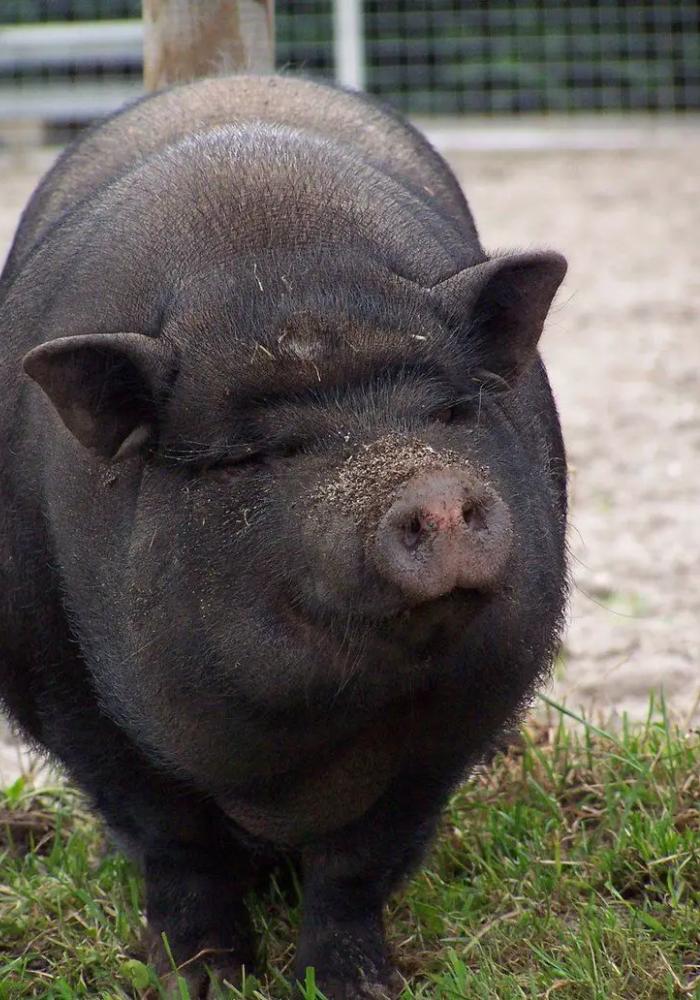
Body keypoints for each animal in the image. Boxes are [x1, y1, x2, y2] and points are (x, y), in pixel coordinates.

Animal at [0, 75, 568, 998]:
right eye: (255, 454)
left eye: (452, 413)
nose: (436, 492)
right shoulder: (64, 692)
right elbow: (173, 843)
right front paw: (199, 980)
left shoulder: (457, 719)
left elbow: (361, 861)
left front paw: (357, 985)